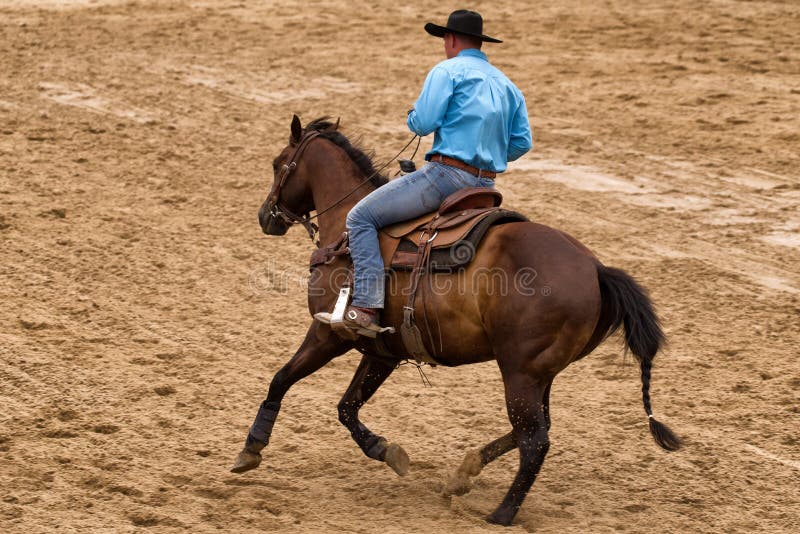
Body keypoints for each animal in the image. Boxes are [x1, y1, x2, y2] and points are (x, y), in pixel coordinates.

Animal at [231, 115, 681, 526]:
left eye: (278, 163)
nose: (265, 216)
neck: (345, 226)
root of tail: (596, 269)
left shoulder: (329, 332)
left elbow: (282, 379)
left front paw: (251, 449)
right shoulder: (382, 350)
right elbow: (347, 406)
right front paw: (388, 451)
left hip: (519, 372)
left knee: (535, 440)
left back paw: (501, 513)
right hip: (541, 373)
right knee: (534, 429)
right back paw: (464, 474)